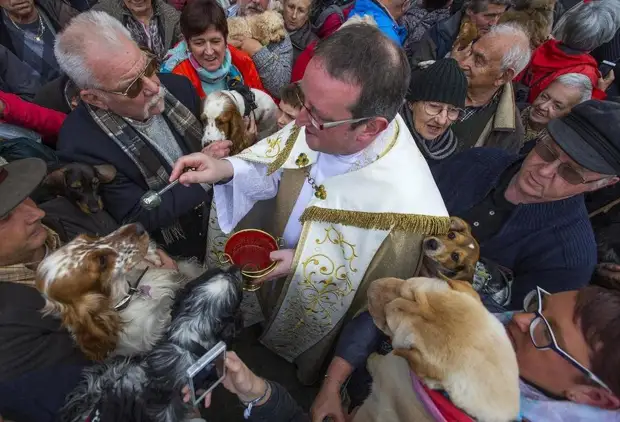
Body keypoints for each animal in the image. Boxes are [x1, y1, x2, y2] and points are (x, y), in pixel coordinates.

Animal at [360, 276, 520, 422]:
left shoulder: (386, 367)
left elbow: (375, 362)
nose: (371, 287)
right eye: (404, 285)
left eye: (387, 322)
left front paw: (371, 358)